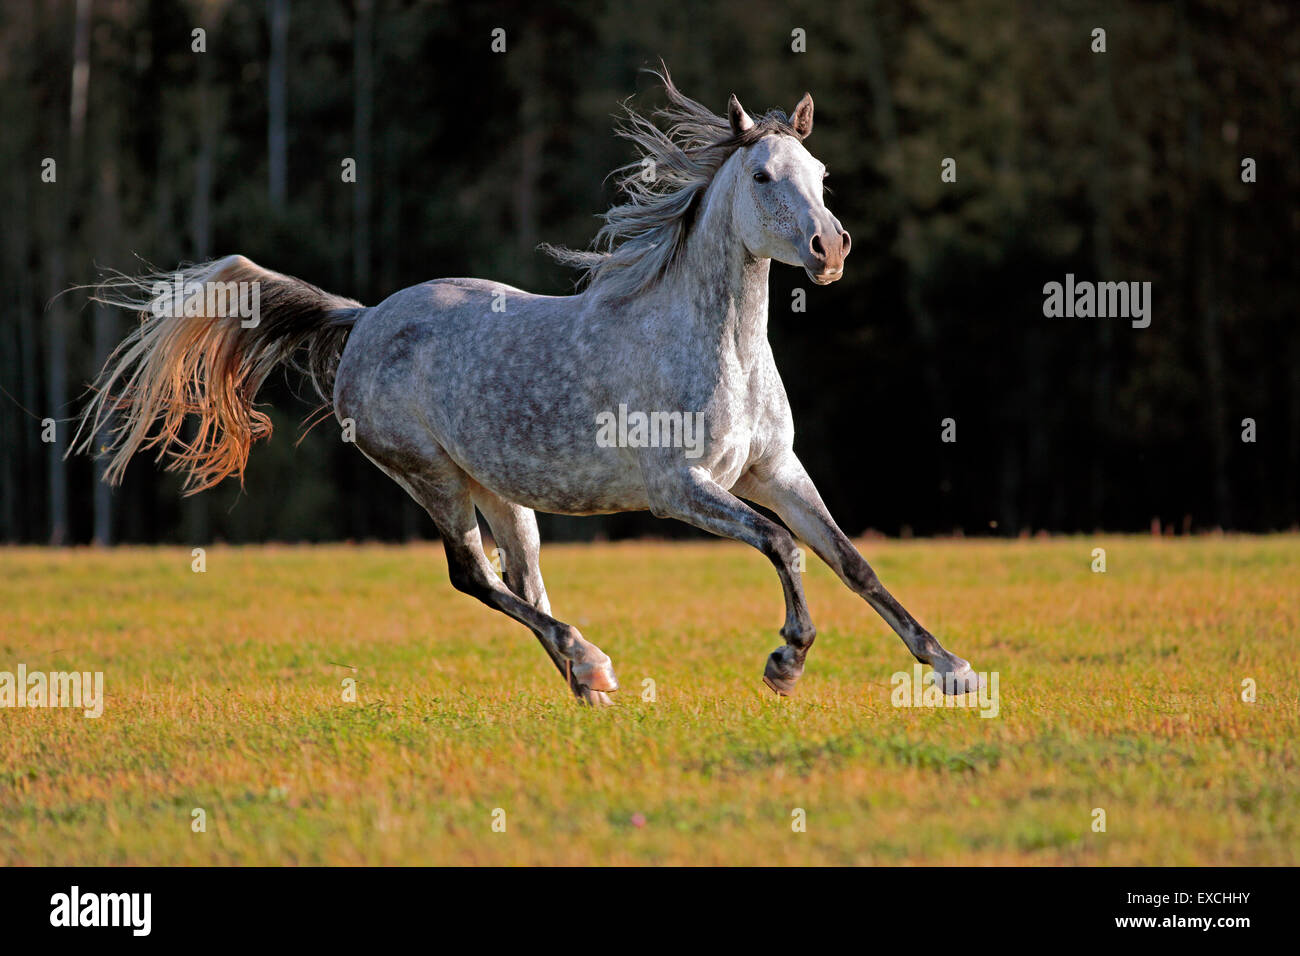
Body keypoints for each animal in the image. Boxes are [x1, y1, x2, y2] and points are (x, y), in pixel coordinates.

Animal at [73, 71, 982, 705]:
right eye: (762, 176)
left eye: (820, 171)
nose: (831, 250)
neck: (712, 342)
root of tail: (362, 319)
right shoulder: (681, 489)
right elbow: (783, 547)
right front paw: (785, 662)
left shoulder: (775, 470)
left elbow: (850, 560)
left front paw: (954, 671)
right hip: (432, 477)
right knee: (475, 578)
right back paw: (591, 662)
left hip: (502, 491)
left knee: (521, 579)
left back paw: (592, 683)